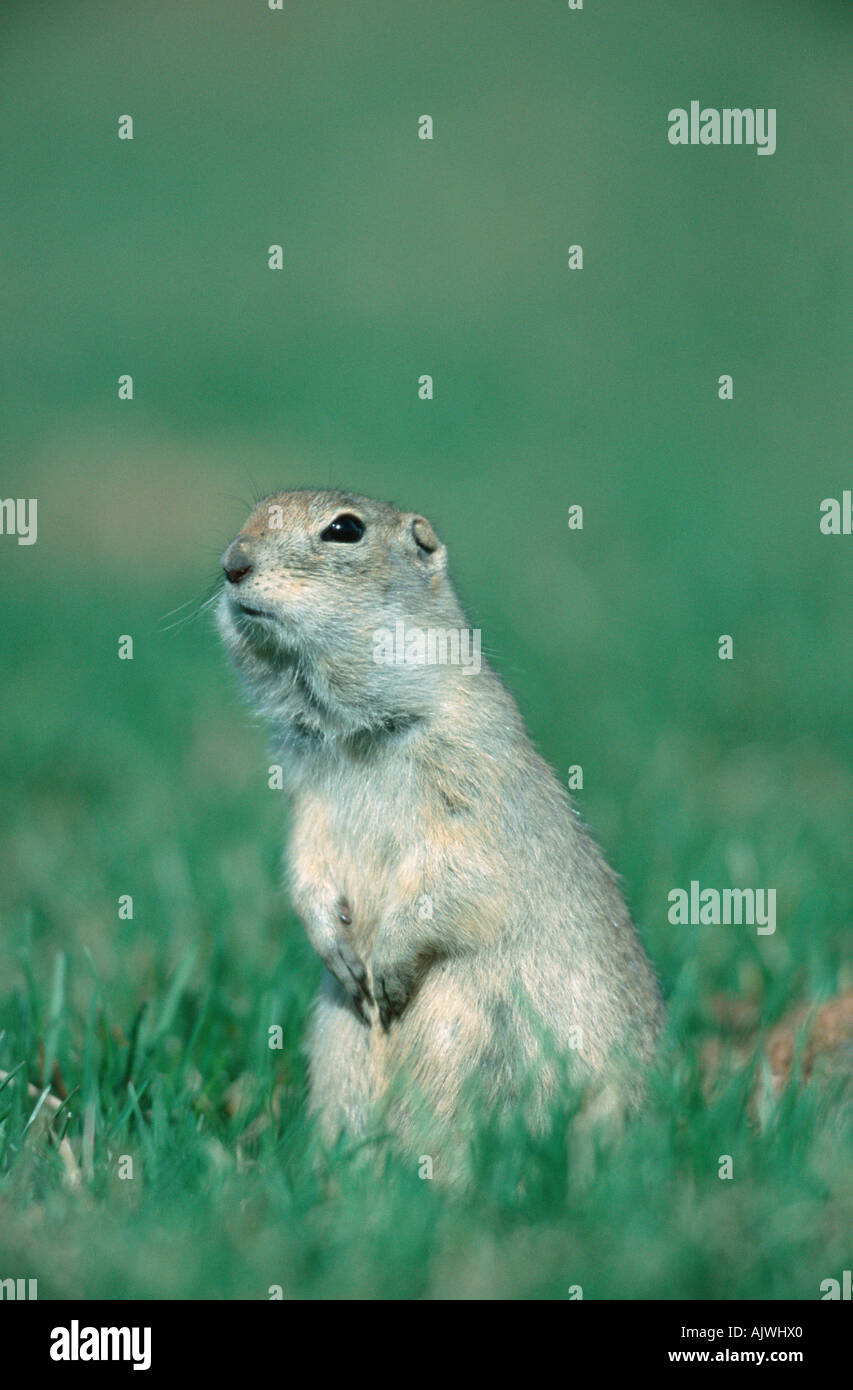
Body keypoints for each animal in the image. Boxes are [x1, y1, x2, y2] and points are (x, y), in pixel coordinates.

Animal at [217, 489, 664, 1170]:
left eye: (344, 529)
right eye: (253, 510)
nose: (231, 565)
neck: (353, 732)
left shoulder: (472, 776)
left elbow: (462, 873)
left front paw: (388, 969)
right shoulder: (306, 793)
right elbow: (305, 861)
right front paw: (336, 947)